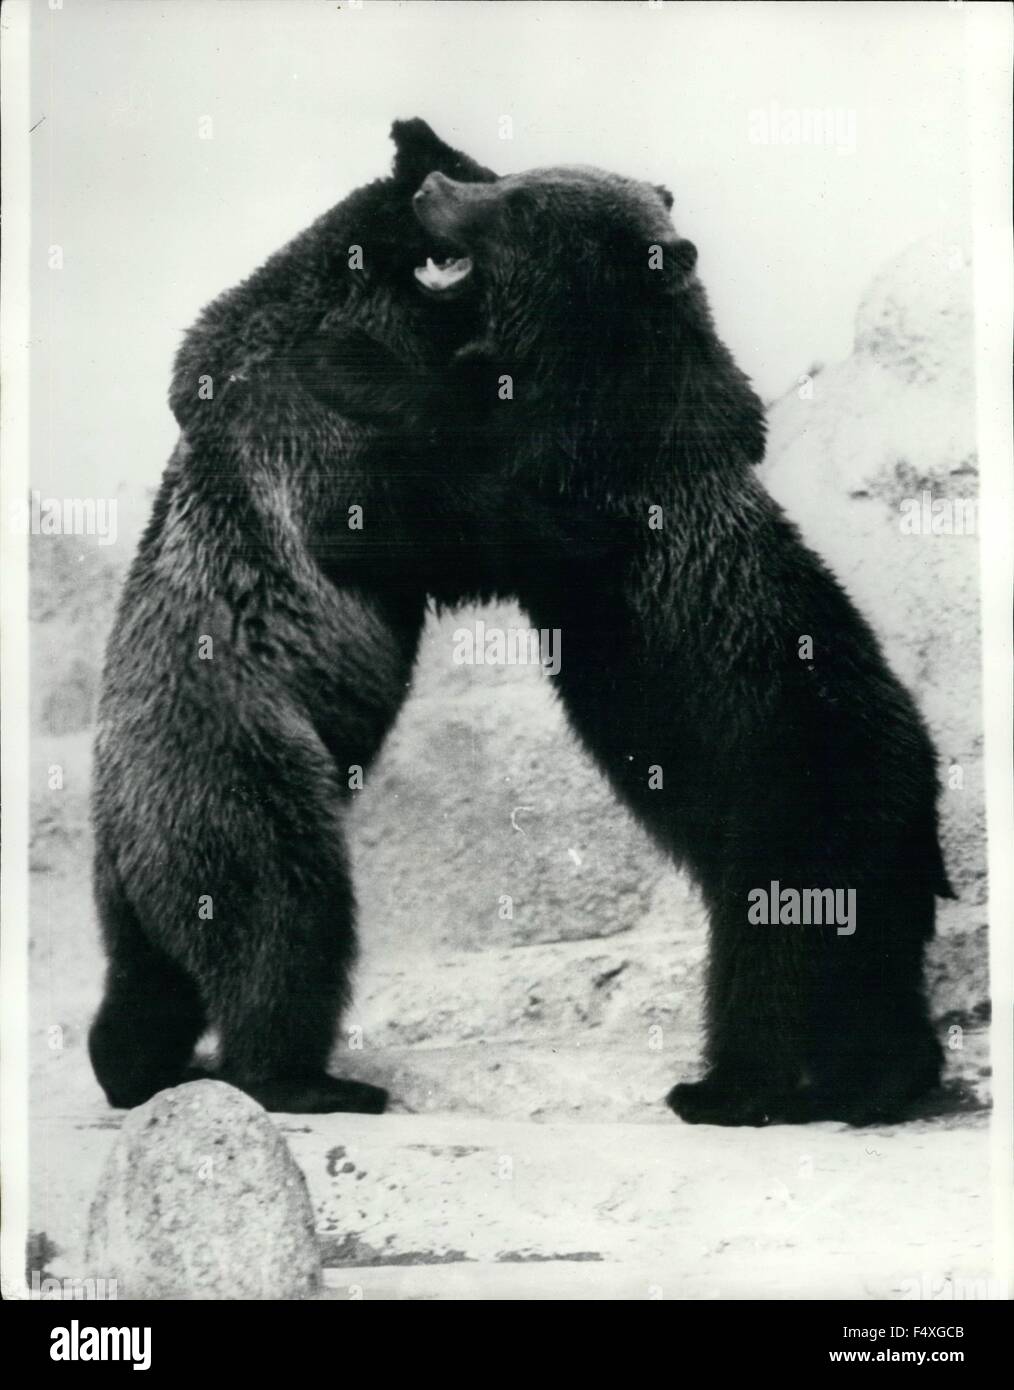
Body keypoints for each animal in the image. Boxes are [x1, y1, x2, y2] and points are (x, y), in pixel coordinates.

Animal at [88, 119, 500, 1114]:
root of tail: (119, 827)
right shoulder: (315, 430)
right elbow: (412, 522)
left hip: (138, 882)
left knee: (149, 982)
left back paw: (141, 1064)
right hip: (243, 778)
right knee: (287, 919)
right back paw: (309, 1078)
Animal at [412, 164, 951, 1125]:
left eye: (519, 200)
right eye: (508, 178)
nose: (434, 181)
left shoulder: (576, 470)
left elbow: (480, 511)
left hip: (789, 812)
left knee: (766, 962)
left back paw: (721, 1088)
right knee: (869, 980)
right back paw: (878, 1080)